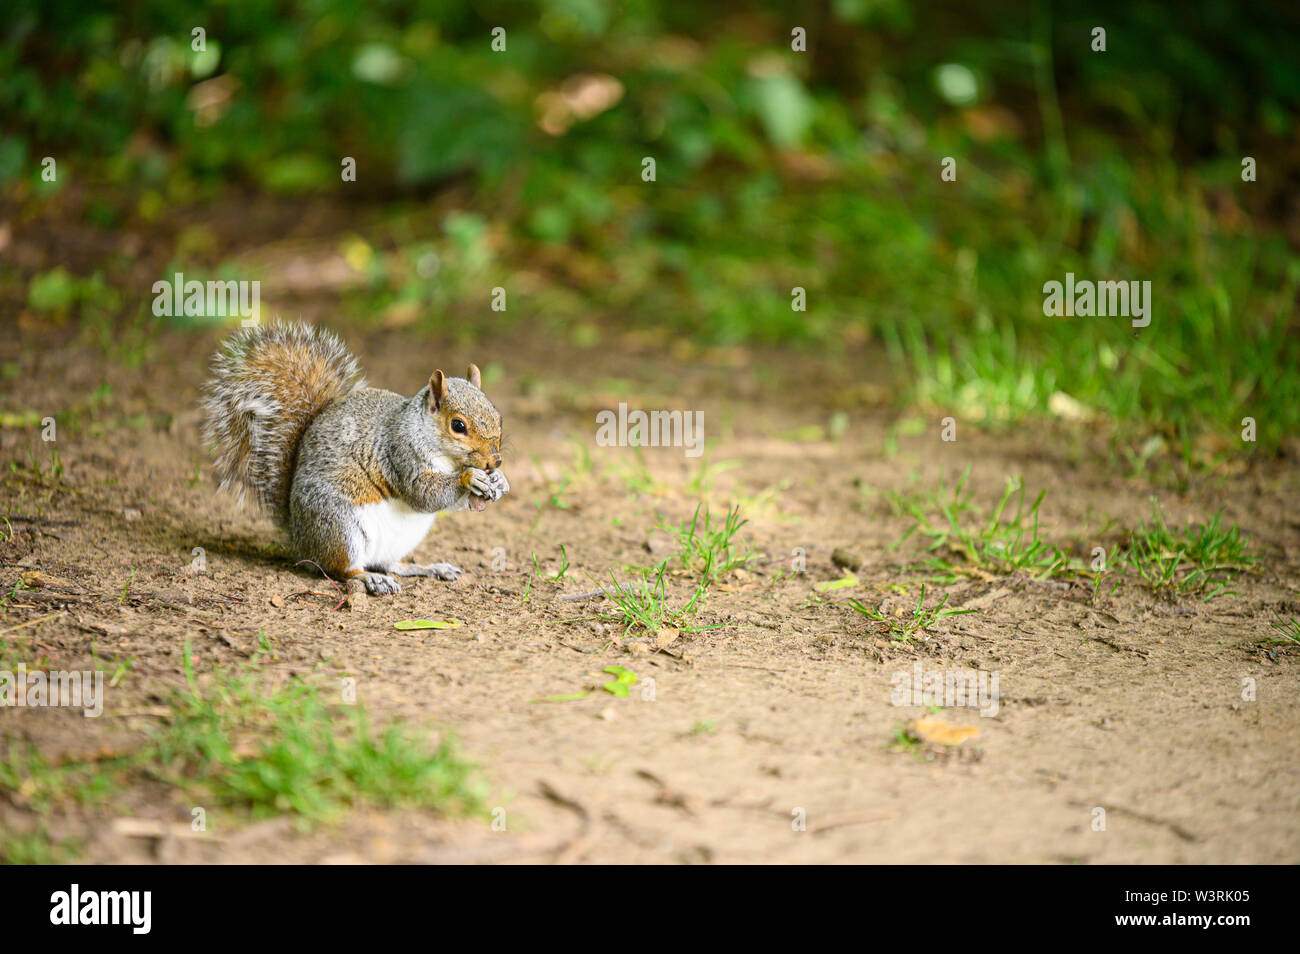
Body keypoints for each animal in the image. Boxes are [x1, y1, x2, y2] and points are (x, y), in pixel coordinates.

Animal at [200, 321, 508, 595]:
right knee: (342, 570)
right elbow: (424, 493)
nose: (494, 462)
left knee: (389, 564)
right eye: (458, 425)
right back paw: (371, 579)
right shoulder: (400, 453)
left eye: (498, 416)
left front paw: (499, 482)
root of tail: (300, 539)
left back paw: (428, 567)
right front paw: (470, 478)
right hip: (340, 525)